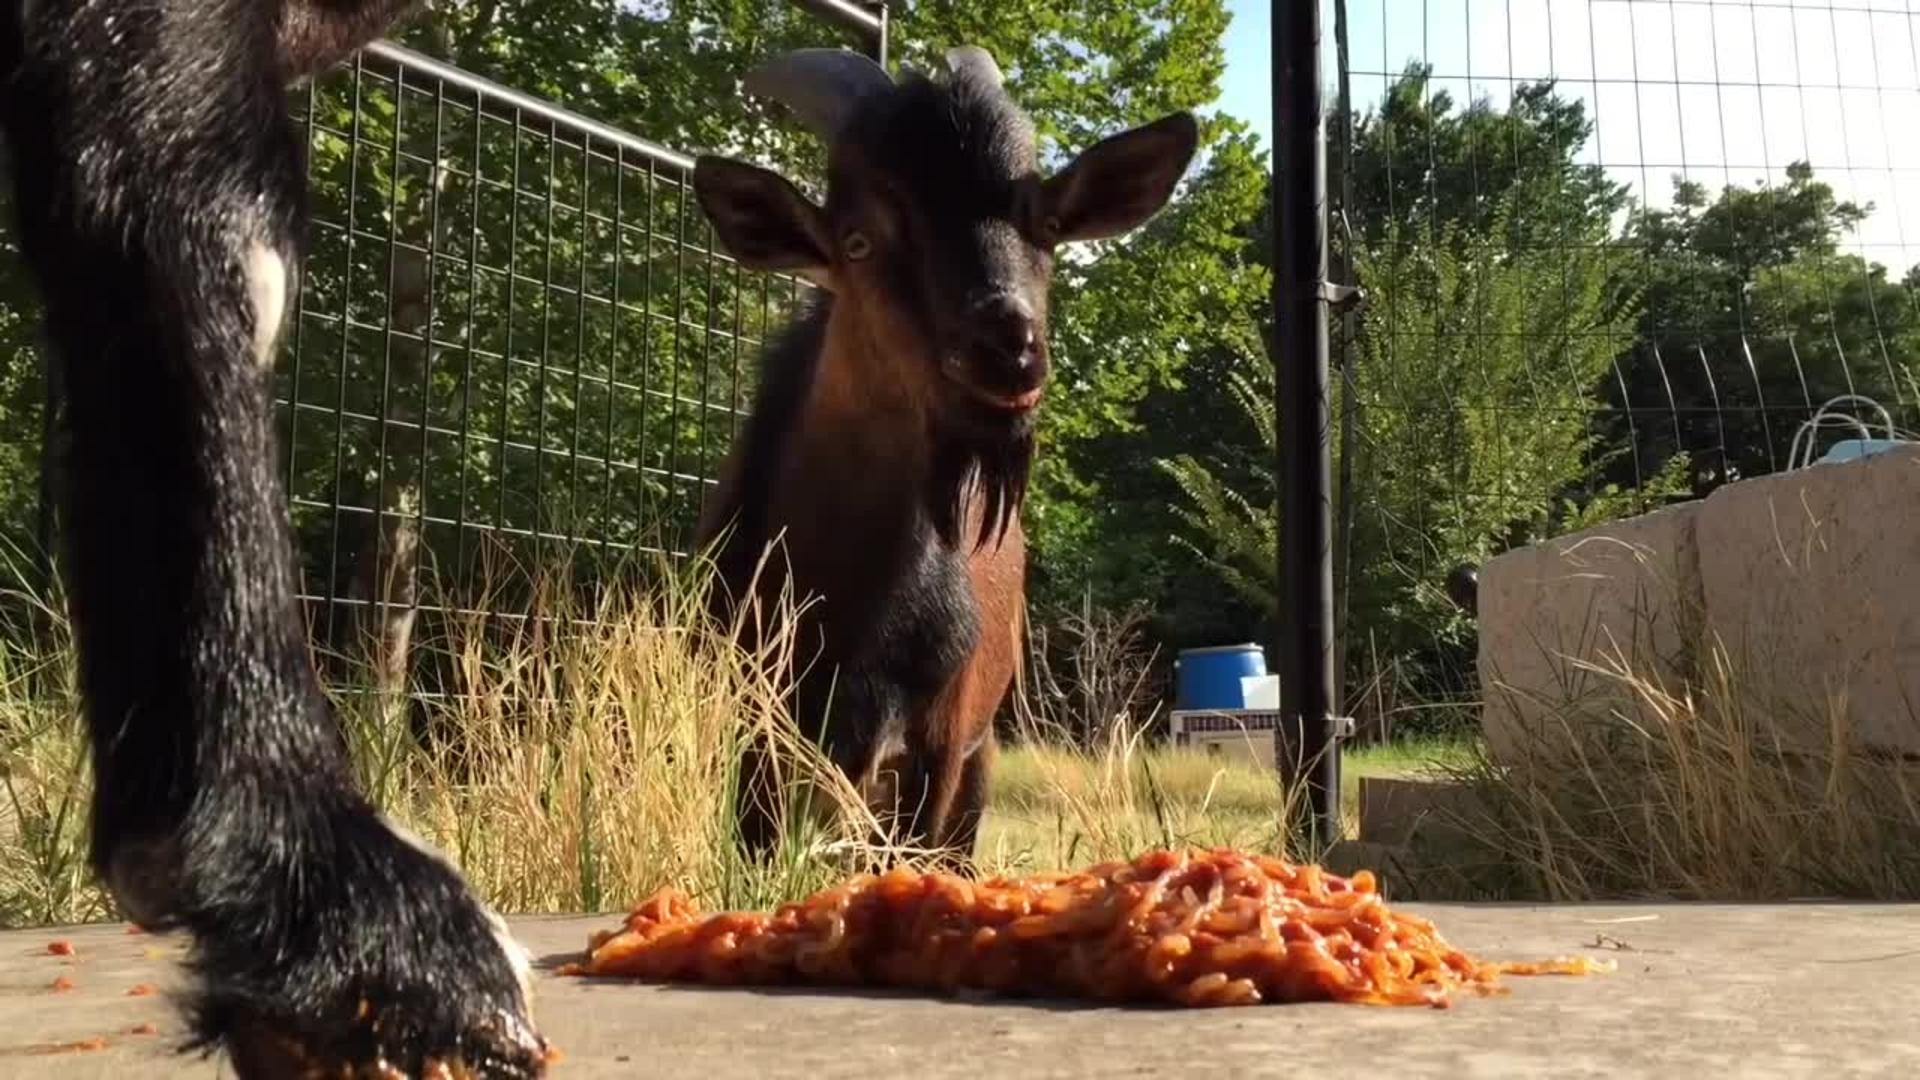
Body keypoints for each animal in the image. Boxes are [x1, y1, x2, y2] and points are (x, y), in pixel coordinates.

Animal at [693, 46, 1197, 868]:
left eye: (1047, 225)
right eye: (858, 240)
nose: (1006, 347)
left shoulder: (939, 743)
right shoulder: (754, 723)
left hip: (978, 753)